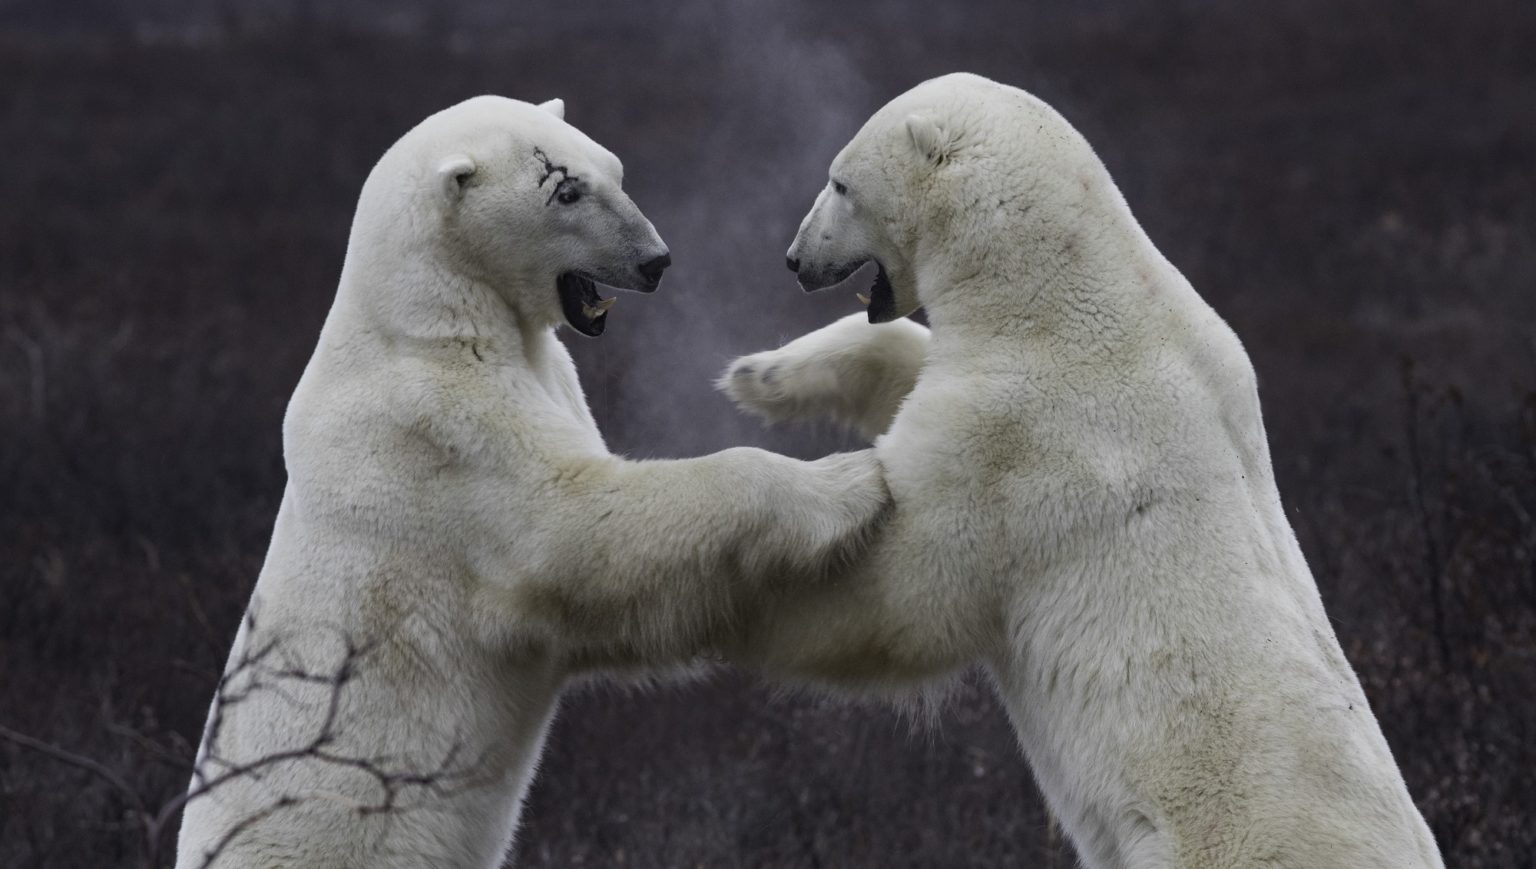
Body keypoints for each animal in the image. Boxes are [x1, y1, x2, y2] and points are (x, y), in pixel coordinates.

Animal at [172, 95, 889, 869]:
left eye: (615, 168)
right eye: (566, 191)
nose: (656, 260)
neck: (422, 318)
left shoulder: (547, 382)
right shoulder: (443, 432)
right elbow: (577, 534)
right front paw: (850, 479)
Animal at [719, 73, 1444, 869]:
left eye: (841, 183)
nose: (793, 259)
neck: (1060, 289)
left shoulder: (1022, 437)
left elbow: (905, 597)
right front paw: (761, 375)